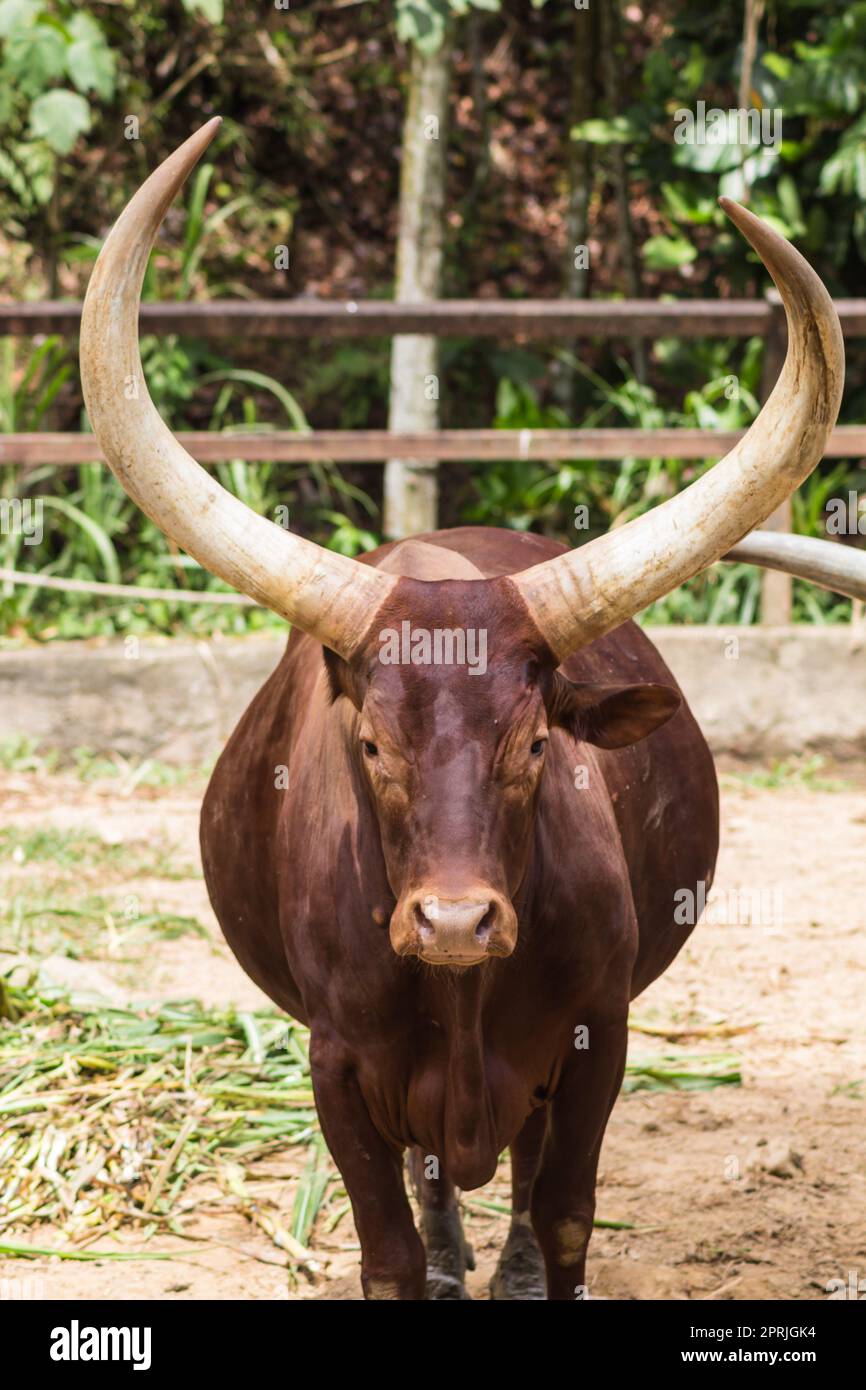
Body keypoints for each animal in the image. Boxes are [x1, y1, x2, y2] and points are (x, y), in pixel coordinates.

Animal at [80, 120, 863, 1299]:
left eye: (534, 741)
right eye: (369, 743)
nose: (455, 923)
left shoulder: (597, 1036)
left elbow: (568, 1208)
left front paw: (535, 1267)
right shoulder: (334, 1065)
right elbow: (388, 1247)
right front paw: (432, 1260)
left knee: (526, 1169)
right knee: (435, 1174)